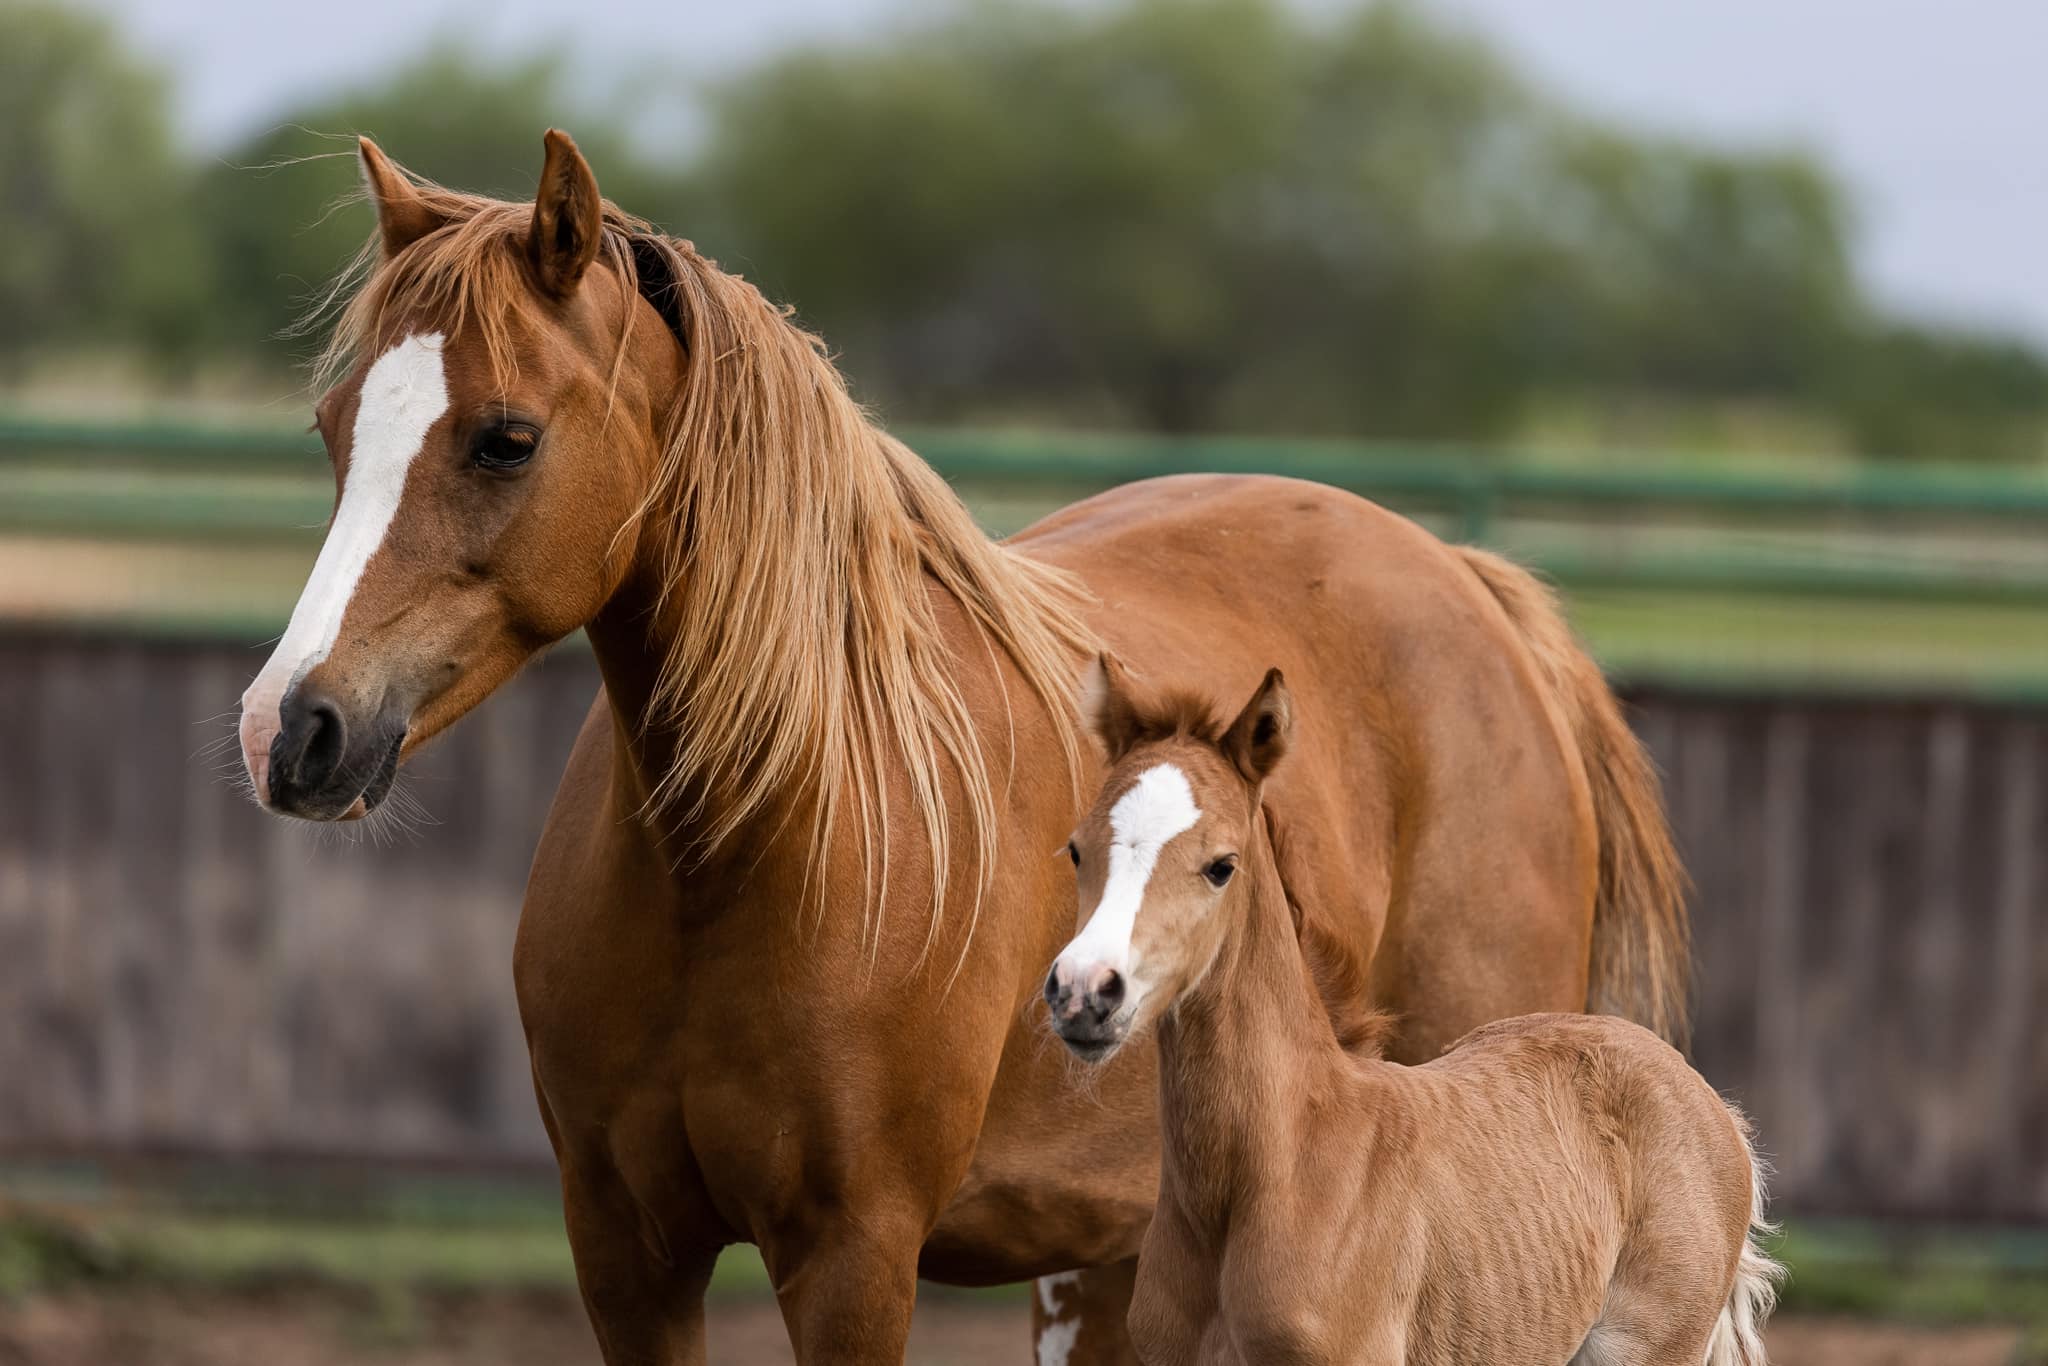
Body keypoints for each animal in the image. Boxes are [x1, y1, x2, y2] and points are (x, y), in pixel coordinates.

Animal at [233, 129, 1690, 1364]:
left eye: (506, 438)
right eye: (334, 427)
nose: (289, 725)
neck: (761, 843)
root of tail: (1470, 589)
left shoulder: (854, 1257)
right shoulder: (626, 1251)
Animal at [1045, 659, 1779, 1365]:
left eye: (1221, 865)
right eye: (1077, 849)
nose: (1085, 991)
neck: (1275, 1172)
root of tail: (1713, 1106)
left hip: (1650, 1346)